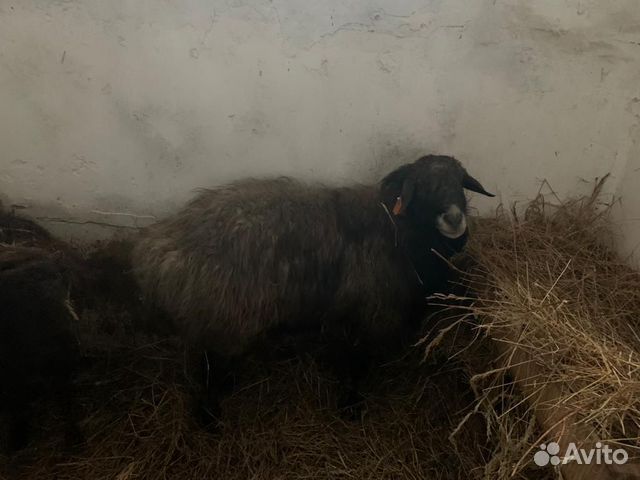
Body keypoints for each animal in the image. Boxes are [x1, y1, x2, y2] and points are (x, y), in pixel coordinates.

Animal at [132, 154, 494, 417]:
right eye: (420, 186)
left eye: (461, 183)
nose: (454, 218)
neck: (397, 230)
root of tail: (162, 242)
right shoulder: (370, 318)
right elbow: (357, 365)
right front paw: (350, 407)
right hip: (224, 318)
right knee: (208, 368)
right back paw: (210, 415)